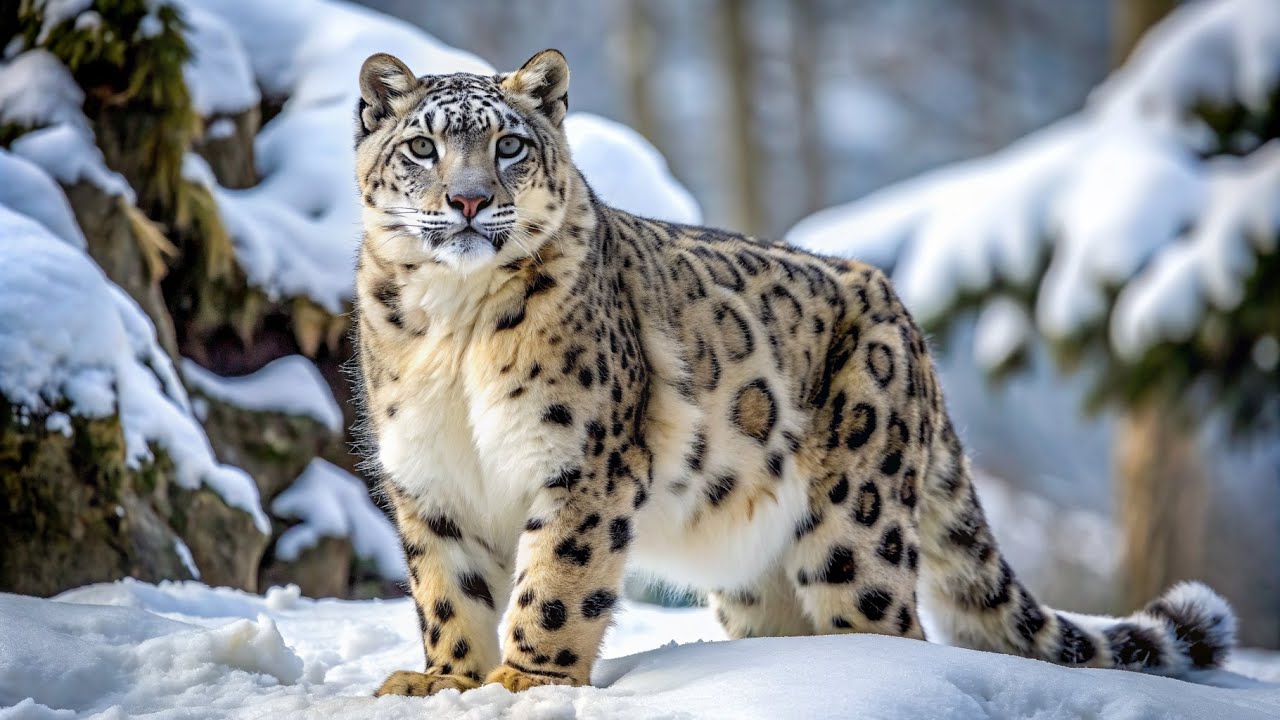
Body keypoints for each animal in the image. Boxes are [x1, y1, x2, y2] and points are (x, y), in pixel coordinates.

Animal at [350, 49, 1236, 697]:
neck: (454, 328)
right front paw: (445, 680)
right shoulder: (430, 476)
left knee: (893, 626)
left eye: (509, 145)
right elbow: (448, 591)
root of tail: (907, 324)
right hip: (759, 575)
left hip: (857, 532)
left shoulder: (586, 461)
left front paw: (526, 681)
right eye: (423, 146)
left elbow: (557, 582)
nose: (468, 201)